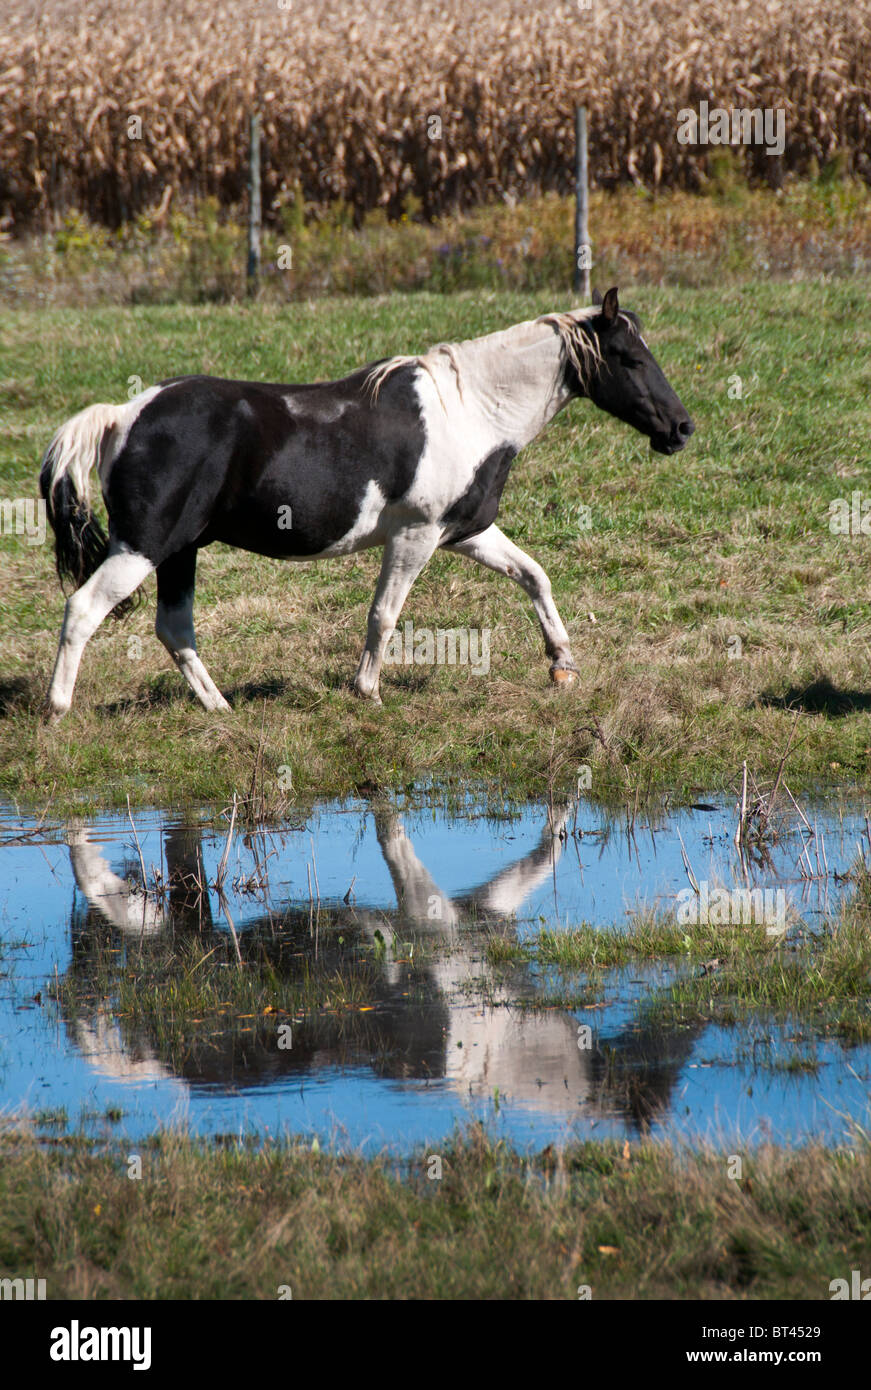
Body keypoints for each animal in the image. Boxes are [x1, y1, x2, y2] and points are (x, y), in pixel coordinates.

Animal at [39, 287, 693, 719]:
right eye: (631, 358)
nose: (681, 429)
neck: (471, 411)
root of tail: (122, 416)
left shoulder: (465, 532)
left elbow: (534, 576)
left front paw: (562, 665)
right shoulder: (416, 535)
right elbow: (384, 614)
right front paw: (368, 691)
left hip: (179, 551)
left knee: (174, 629)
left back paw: (221, 708)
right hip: (143, 548)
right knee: (83, 611)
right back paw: (58, 712)